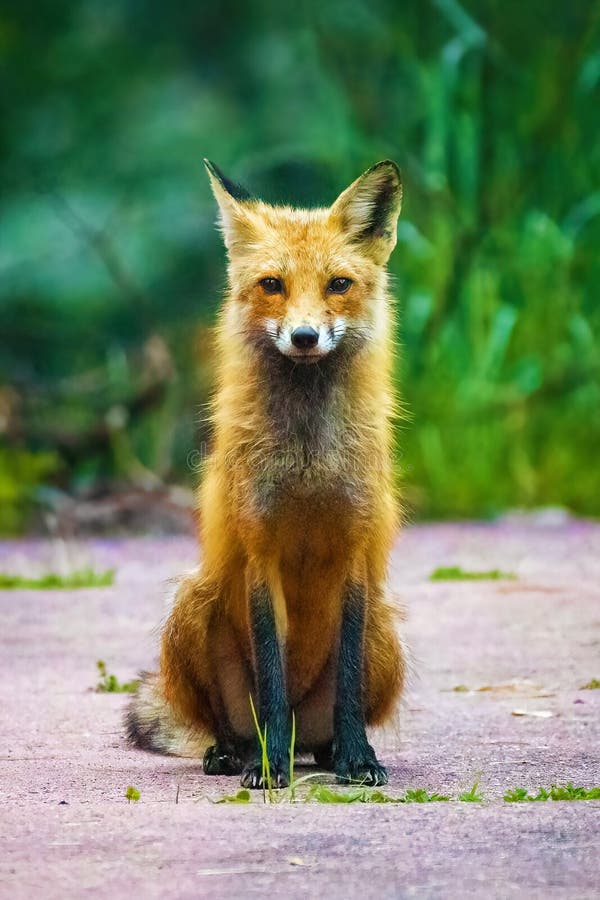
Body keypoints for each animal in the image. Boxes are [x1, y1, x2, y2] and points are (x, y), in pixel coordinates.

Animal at [126, 158, 407, 787]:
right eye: (273, 284)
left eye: (338, 285)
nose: (304, 337)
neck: (307, 463)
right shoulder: (261, 553)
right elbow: (273, 680)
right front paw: (270, 764)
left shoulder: (355, 553)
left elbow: (349, 682)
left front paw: (358, 759)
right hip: (192, 605)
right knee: (230, 721)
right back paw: (237, 752)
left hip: (385, 628)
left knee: (327, 725)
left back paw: (329, 752)